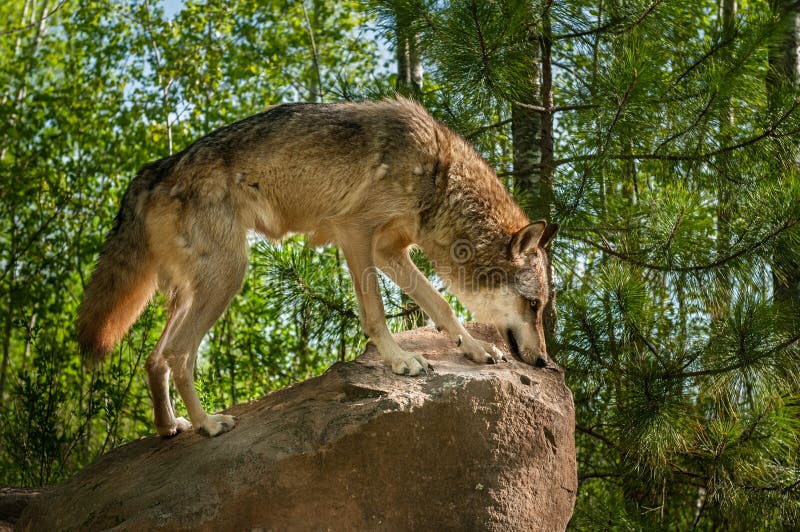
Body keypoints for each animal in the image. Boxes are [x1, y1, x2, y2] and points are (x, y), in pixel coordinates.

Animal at [77, 97, 558, 437]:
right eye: (535, 306)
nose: (542, 363)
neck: (440, 179)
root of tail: (153, 169)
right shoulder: (356, 234)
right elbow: (376, 314)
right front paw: (401, 361)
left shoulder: (389, 251)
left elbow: (440, 305)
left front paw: (473, 349)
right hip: (229, 277)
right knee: (178, 354)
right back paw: (208, 425)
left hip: (192, 291)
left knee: (154, 358)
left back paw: (168, 428)